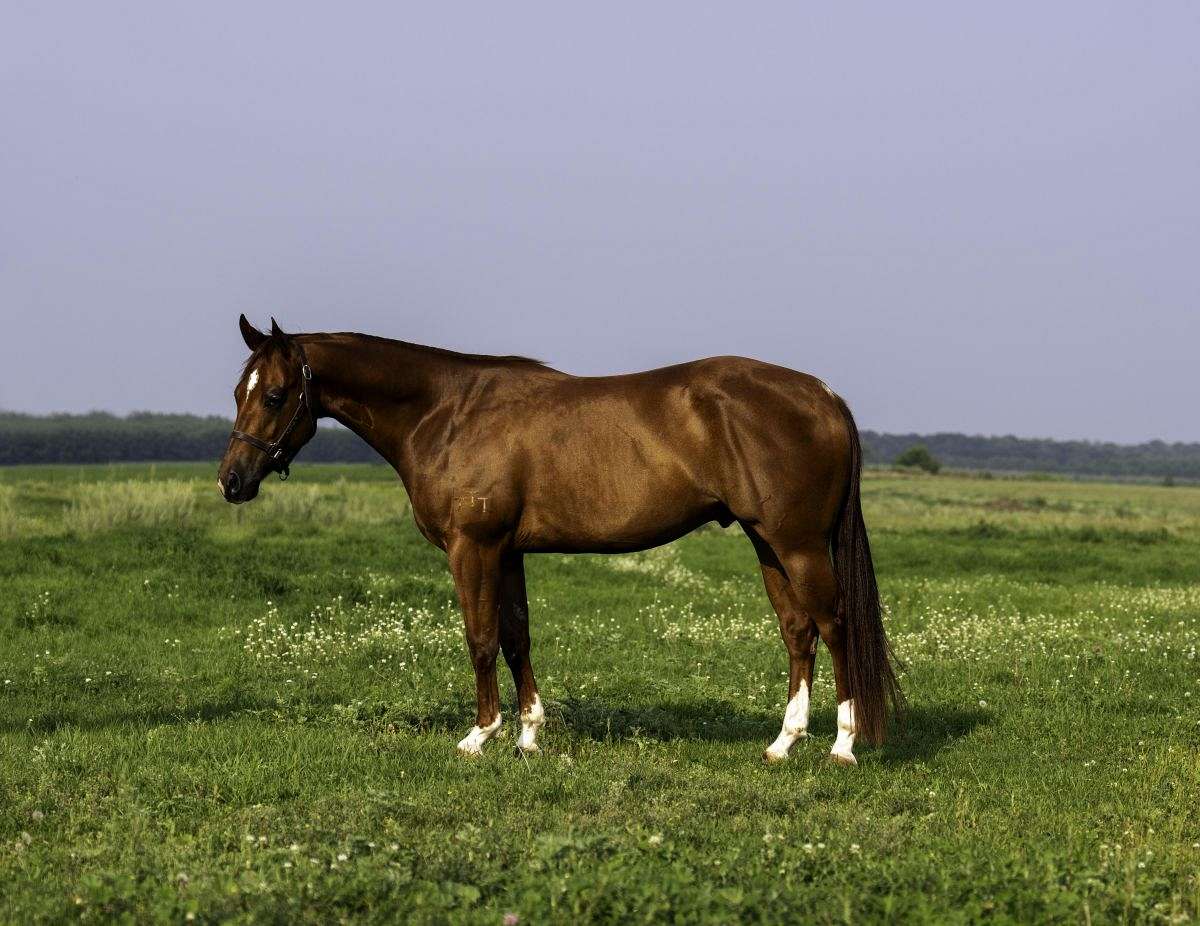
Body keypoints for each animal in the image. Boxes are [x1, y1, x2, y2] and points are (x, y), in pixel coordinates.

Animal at [218, 316, 903, 764]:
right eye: (237, 391)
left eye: (274, 395)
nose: (232, 481)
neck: (446, 413)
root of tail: (823, 394)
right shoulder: (508, 551)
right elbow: (516, 637)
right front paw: (528, 734)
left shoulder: (474, 548)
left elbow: (480, 638)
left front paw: (479, 736)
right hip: (769, 545)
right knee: (798, 631)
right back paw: (783, 743)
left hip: (799, 545)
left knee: (835, 626)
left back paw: (843, 744)